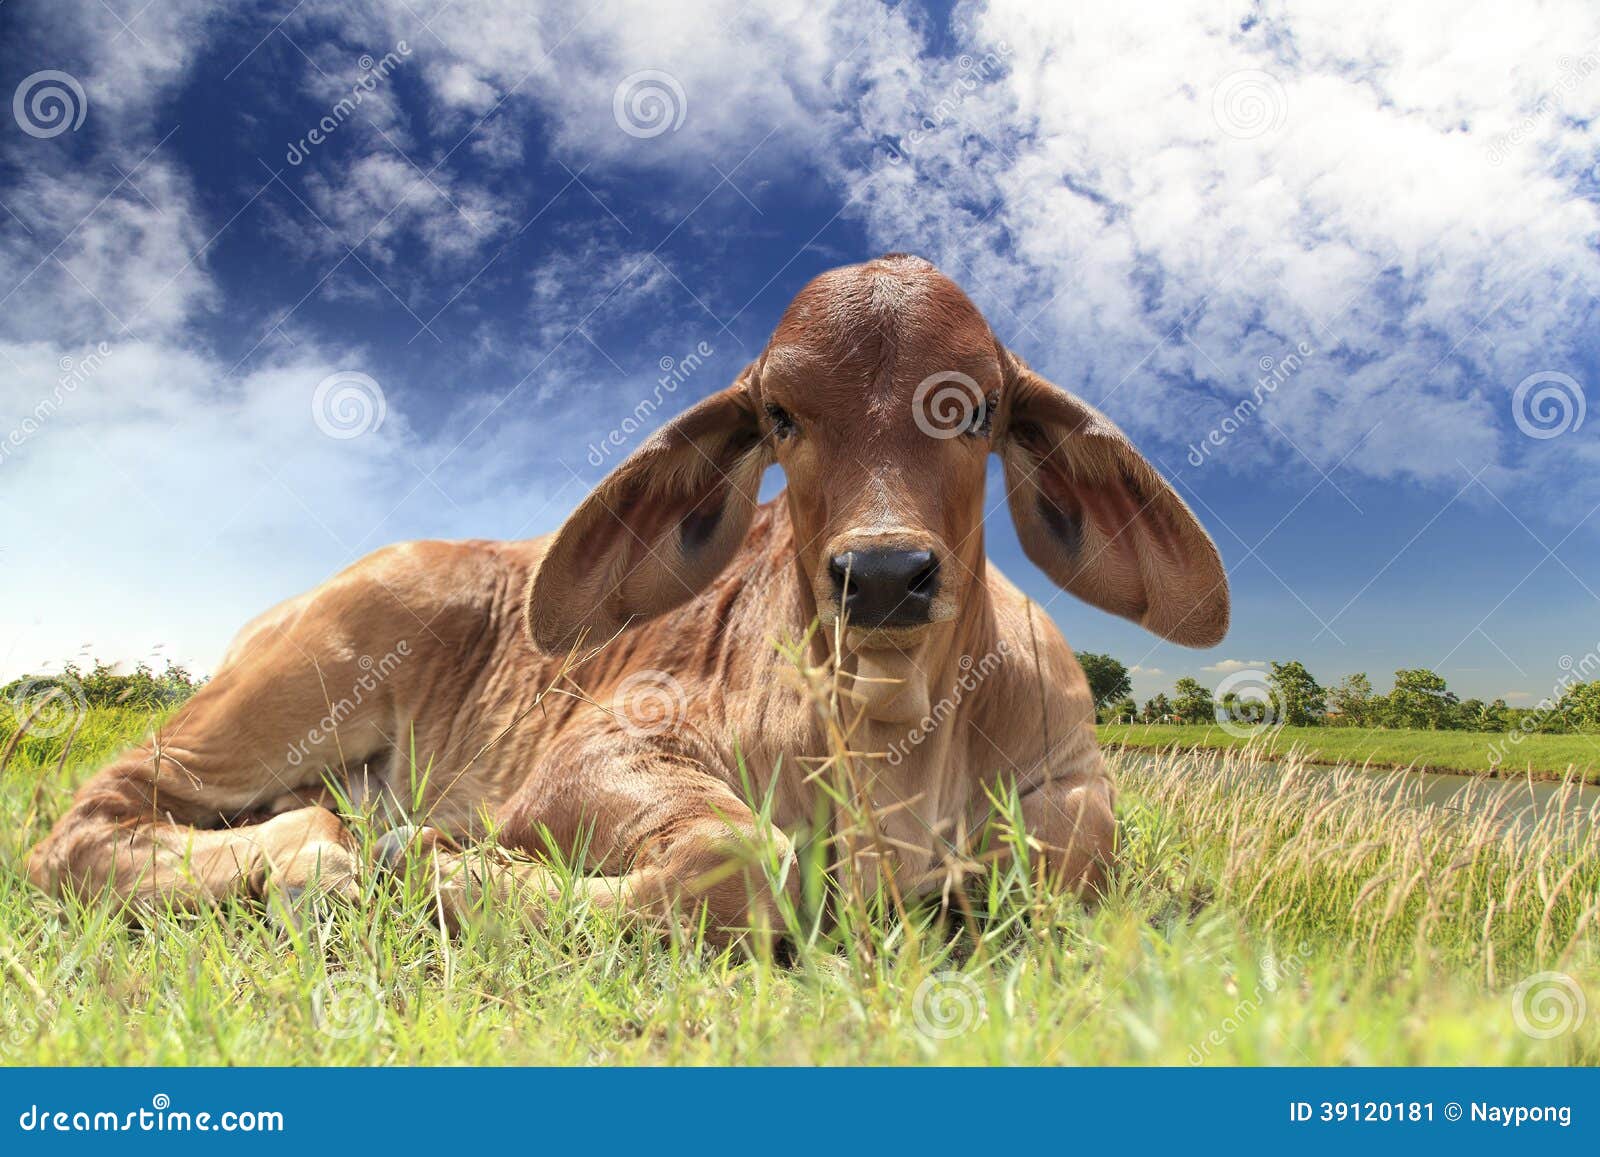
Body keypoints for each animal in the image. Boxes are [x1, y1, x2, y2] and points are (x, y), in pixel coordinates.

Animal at [27, 254, 1228, 939]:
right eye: (782, 415)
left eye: (972, 408)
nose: (884, 575)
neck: (893, 735)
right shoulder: (594, 754)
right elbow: (743, 858)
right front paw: (448, 872)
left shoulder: (1074, 787)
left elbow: (1057, 859)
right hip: (288, 684)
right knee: (79, 825)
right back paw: (312, 854)